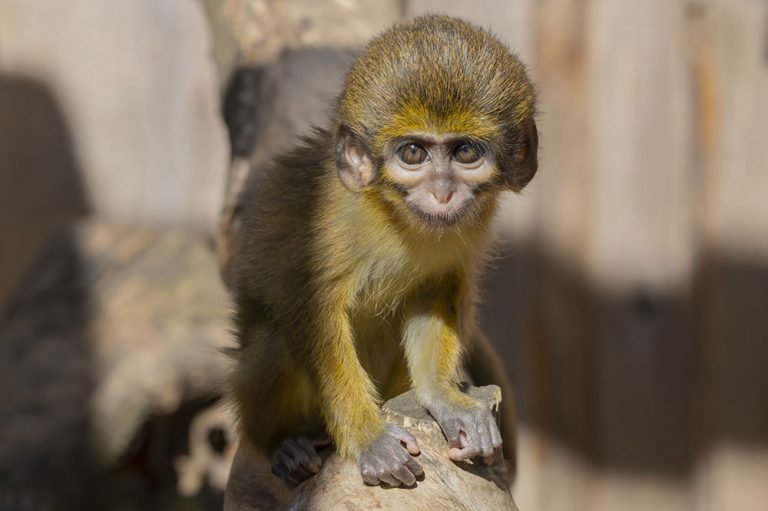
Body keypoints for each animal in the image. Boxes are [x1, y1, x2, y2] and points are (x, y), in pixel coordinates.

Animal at [228, 14, 538, 488]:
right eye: (413, 152)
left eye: (465, 151)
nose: (443, 193)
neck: (392, 218)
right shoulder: (324, 224)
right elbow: (312, 314)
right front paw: (368, 438)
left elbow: (434, 291)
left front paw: (443, 396)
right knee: (273, 341)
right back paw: (285, 443)